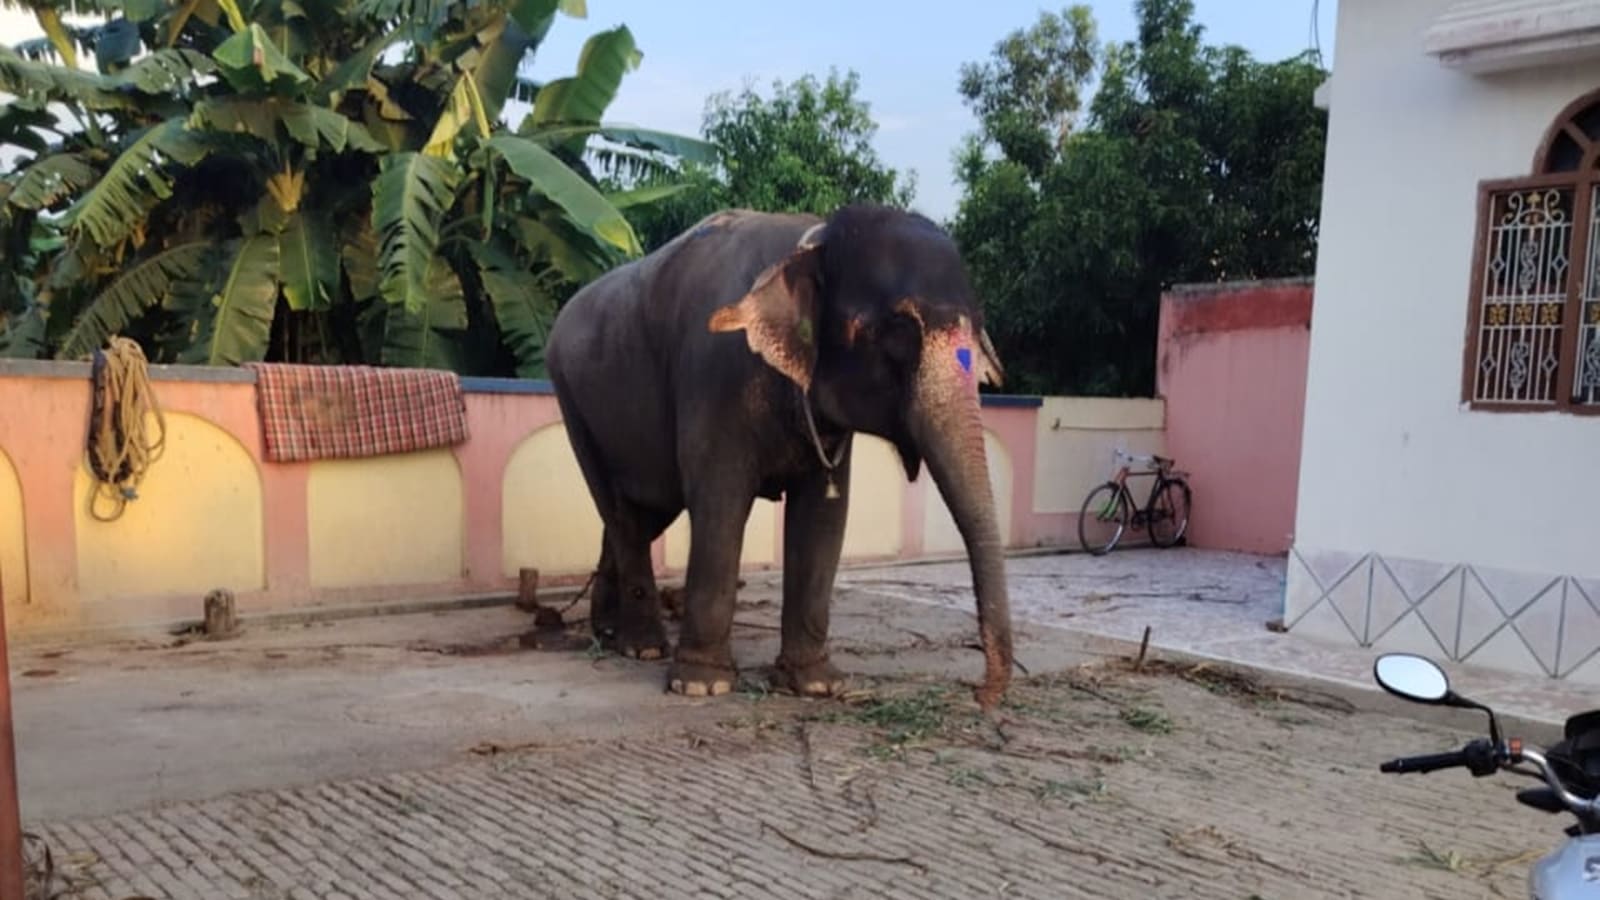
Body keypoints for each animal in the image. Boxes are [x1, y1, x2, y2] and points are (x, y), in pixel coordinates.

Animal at [544, 203, 1015, 708]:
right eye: (896, 335)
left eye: (979, 329)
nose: (983, 694)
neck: (810, 240)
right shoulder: (714, 379)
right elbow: (720, 504)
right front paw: (701, 686)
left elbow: (823, 516)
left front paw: (815, 685)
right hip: (573, 402)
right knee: (622, 513)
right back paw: (643, 648)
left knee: (640, 512)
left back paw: (610, 633)